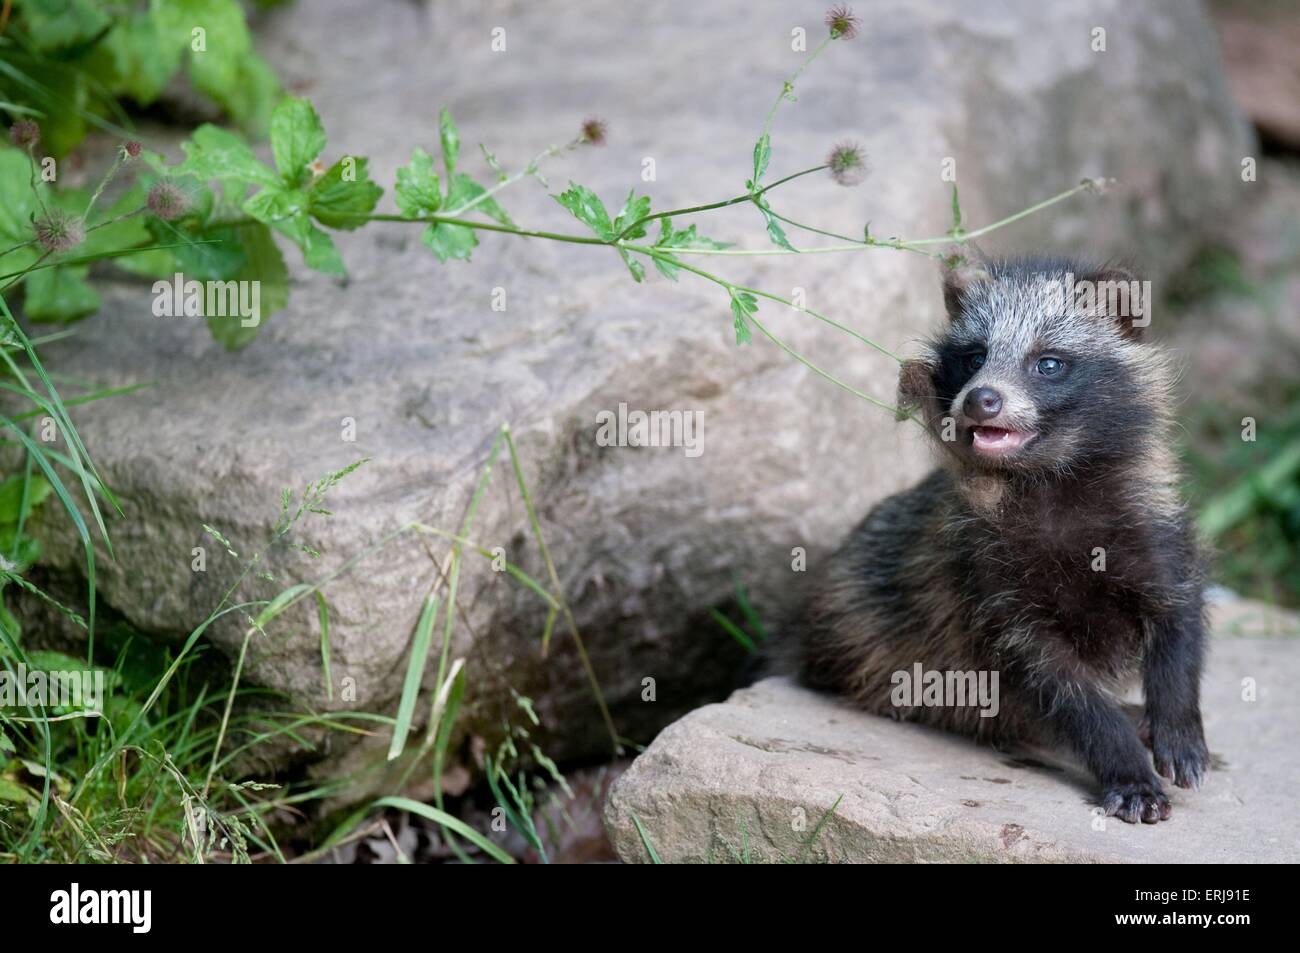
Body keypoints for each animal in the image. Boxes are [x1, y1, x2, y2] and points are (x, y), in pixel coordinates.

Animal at [778, 257, 1209, 824]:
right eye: (975, 355)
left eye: (1048, 363)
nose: (982, 400)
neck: (1048, 481)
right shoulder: (983, 573)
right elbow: (1057, 684)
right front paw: (1122, 760)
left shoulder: (1151, 524)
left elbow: (1178, 618)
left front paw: (1177, 724)